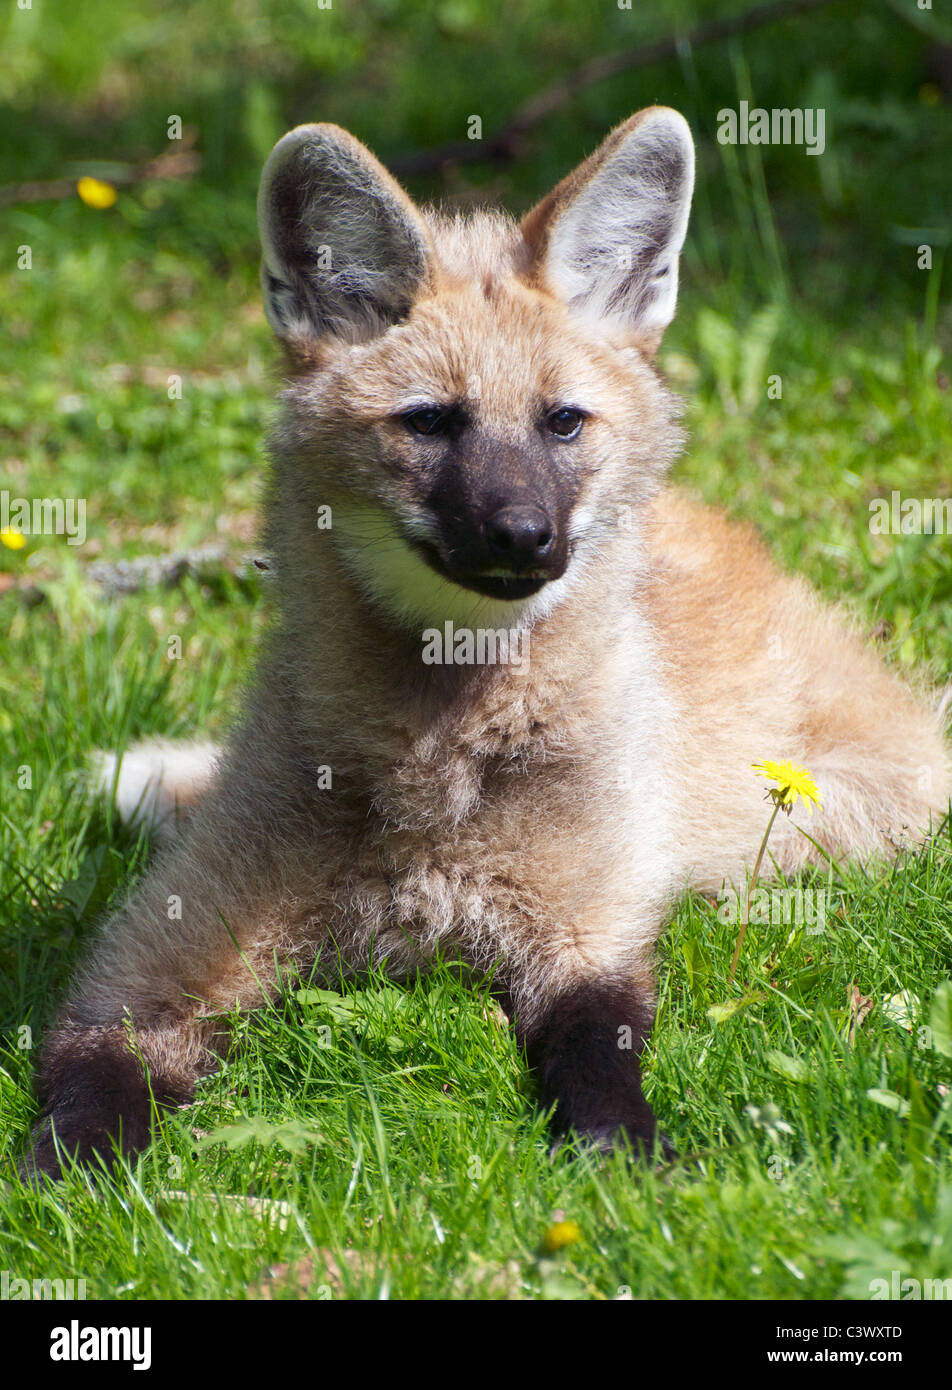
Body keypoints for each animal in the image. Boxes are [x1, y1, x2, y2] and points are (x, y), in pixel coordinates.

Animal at [20, 107, 950, 1178]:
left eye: (562, 423)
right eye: (430, 421)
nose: (522, 535)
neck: (440, 754)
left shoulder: (585, 931)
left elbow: (599, 1050)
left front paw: (627, 1159)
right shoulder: (158, 954)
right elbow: (98, 1061)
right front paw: (65, 1171)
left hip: (830, 809)